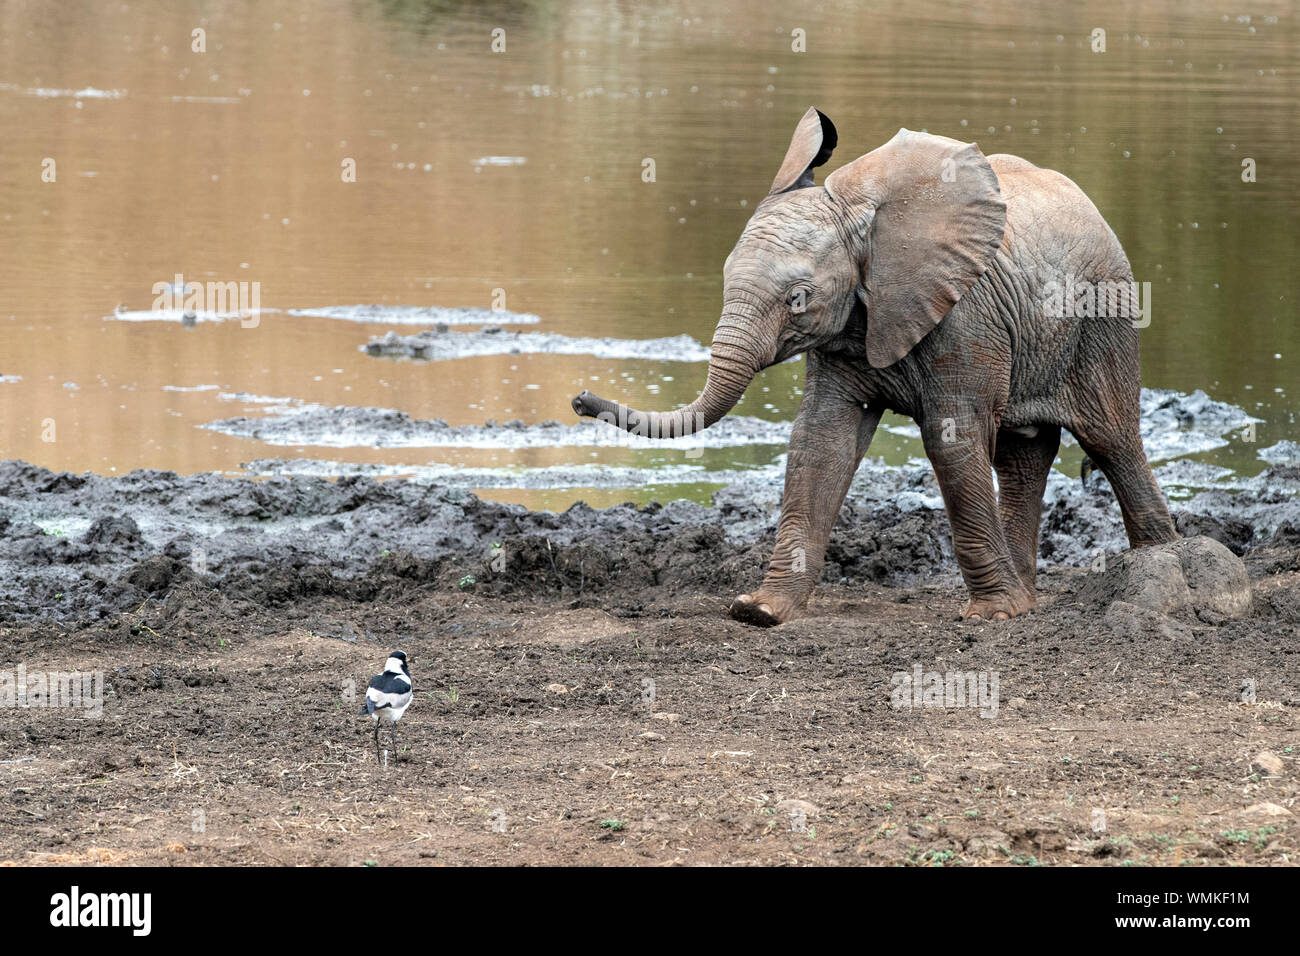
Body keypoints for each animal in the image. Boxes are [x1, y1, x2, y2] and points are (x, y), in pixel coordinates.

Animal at [571, 107, 1177, 625]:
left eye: (797, 299)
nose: (579, 399)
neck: (862, 220)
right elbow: (821, 439)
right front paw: (760, 612)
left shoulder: (963, 315)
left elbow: (951, 440)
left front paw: (990, 617)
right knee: (1023, 455)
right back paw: (1029, 601)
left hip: (1104, 318)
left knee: (1111, 439)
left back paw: (1160, 569)